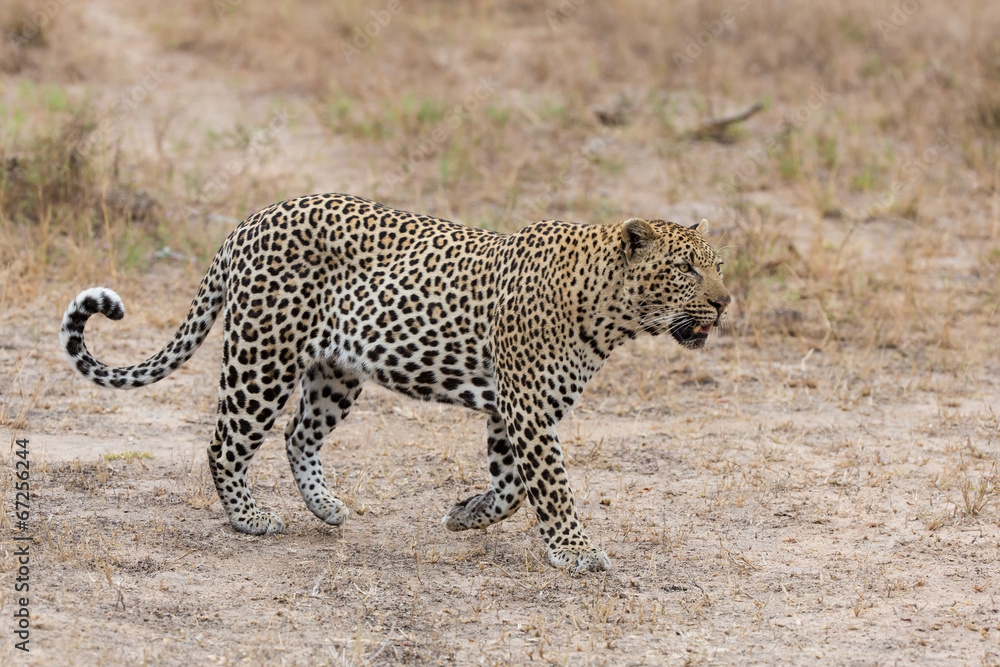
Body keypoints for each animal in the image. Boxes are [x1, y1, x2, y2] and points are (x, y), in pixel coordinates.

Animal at [60, 193, 730, 572]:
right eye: (686, 269)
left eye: (718, 266)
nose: (725, 303)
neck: (611, 313)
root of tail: (246, 223)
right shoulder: (527, 407)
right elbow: (552, 487)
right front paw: (576, 551)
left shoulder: (512, 411)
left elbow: (514, 486)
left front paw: (466, 514)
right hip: (263, 358)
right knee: (226, 442)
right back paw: (251, 518)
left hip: (336, 371)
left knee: (299, 436)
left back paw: (326, 507)